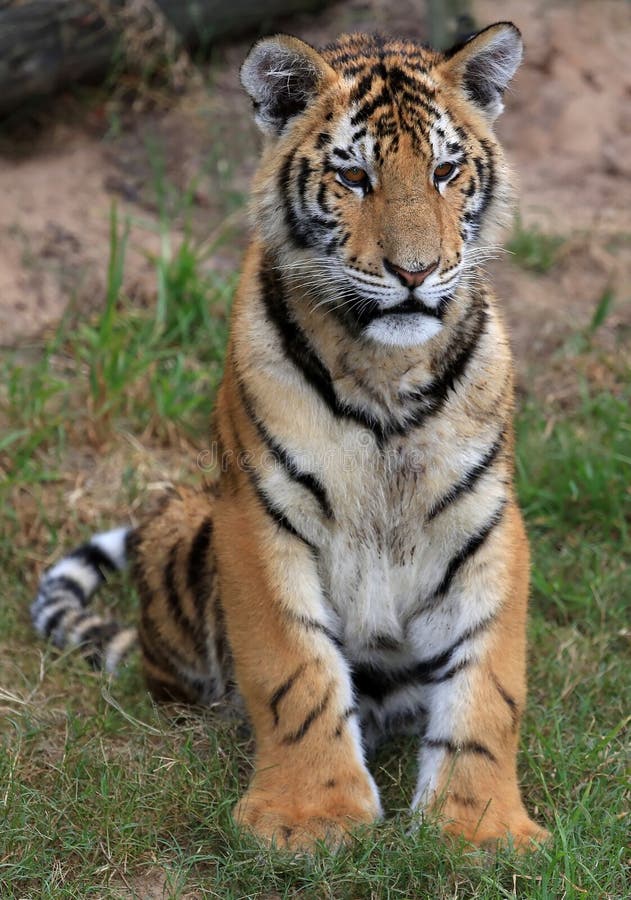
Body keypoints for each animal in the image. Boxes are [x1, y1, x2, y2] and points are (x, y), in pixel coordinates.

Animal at [32, 22, 550, 851]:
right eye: (354, 177)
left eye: (444, 171)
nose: (415, 272)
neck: (386, 369)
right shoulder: (259, 515)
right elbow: (294, 669)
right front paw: (312, 816)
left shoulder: (486, 521)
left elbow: (487, 686)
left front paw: (478, 830)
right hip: (186, 523)